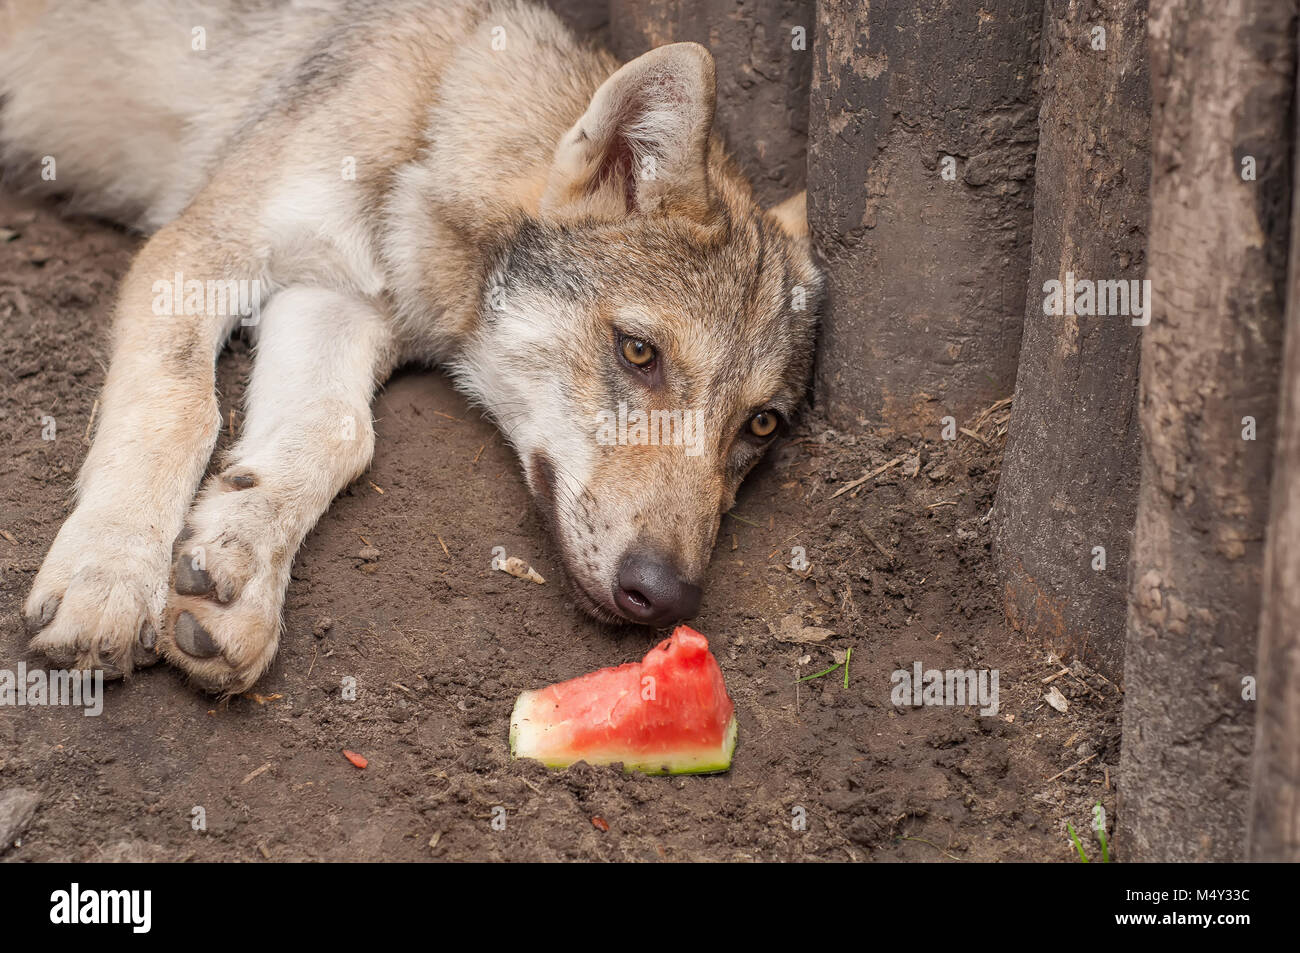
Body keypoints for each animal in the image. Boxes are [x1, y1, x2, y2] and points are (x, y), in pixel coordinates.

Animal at [1, 0, 822, 693]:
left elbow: (336, 435)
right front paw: (107, 579)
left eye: (762, 426)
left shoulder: (334, 299)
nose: (668, 596)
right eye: (639, 353)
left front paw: (237, 566)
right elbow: (183, 411)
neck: (429, 120)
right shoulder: (196, 253)